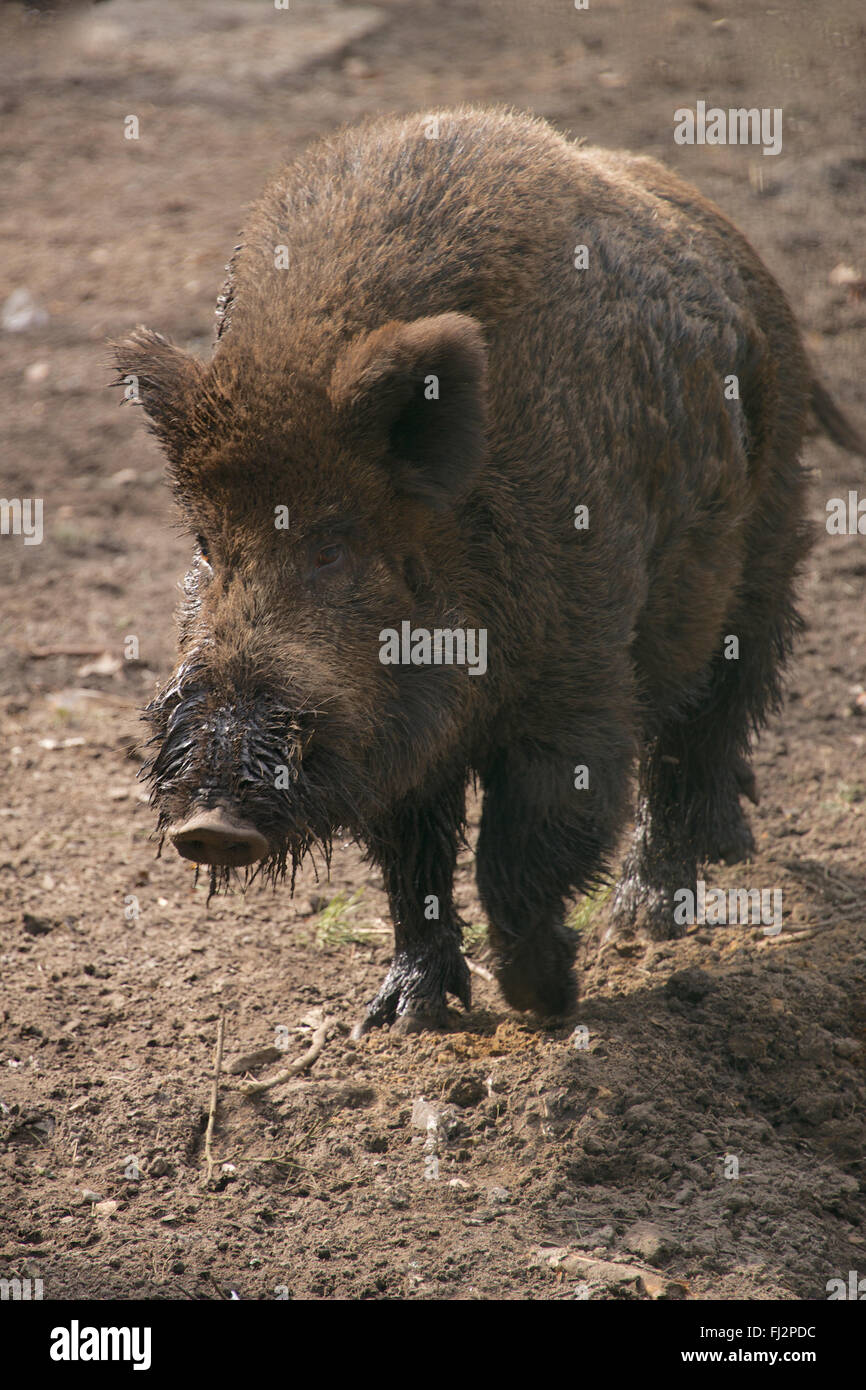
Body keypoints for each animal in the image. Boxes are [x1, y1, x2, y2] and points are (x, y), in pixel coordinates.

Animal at [113, 107, 863, 1036]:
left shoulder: (577, 679)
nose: (211, 823)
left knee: (709, 721)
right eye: (209, 546)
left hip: (762, 550)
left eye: (331, 545)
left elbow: (529, 842)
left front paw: (548, 1002)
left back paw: (649, 920)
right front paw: (400, 1019)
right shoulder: (394, 735)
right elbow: (412, 862)